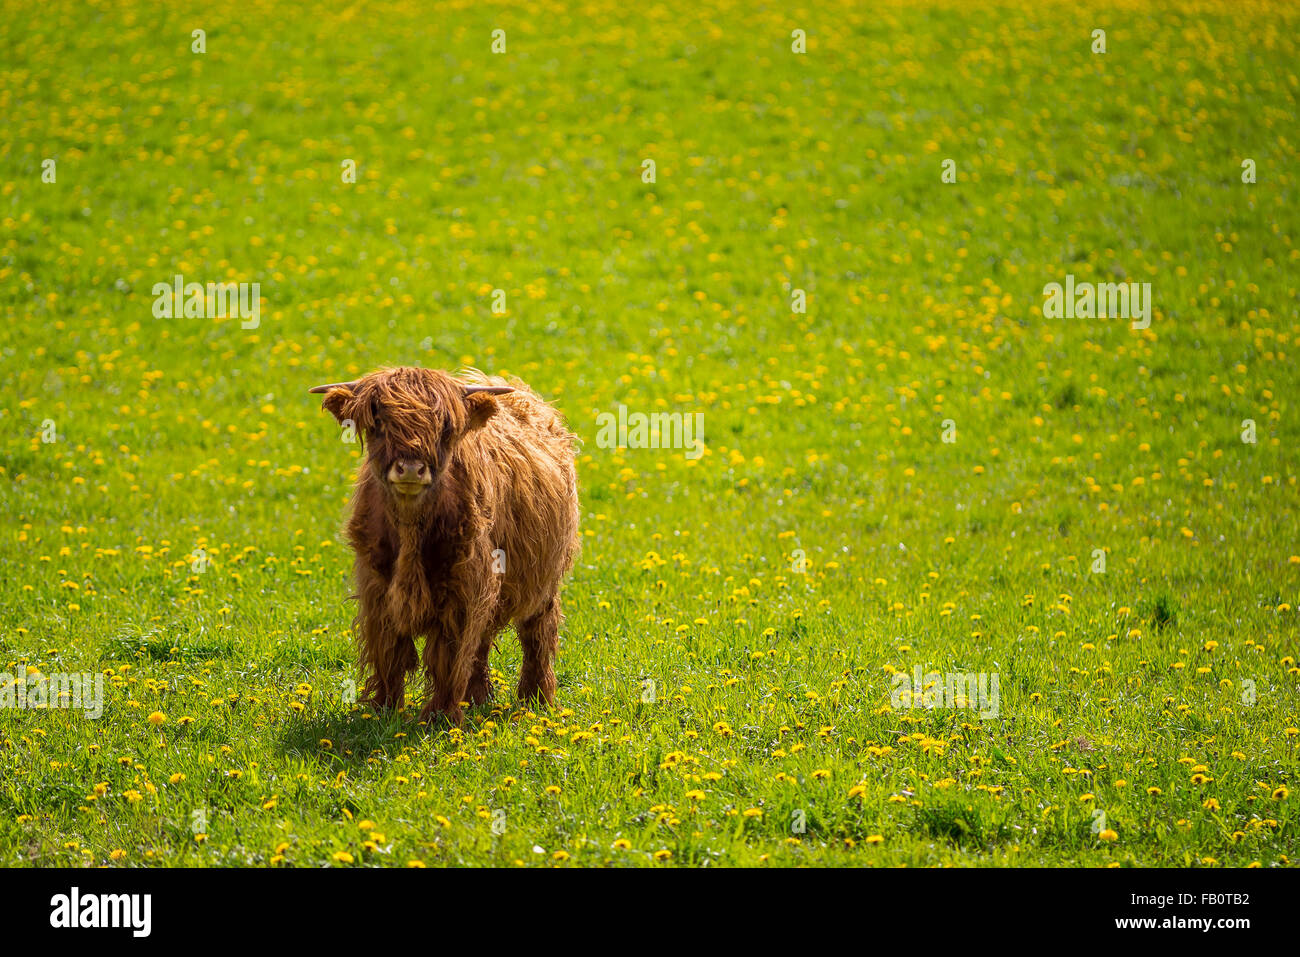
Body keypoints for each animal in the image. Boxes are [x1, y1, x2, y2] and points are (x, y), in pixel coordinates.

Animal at [311, 367, 580, 725]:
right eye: (378, 422)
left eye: (446, 427)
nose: (411, 468)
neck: (410, 529)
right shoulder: (376, 587)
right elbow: (389, 651)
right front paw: (384, 709)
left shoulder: (463, 588)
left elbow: (448, 655)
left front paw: (440, 717)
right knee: (482, 643)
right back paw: (478, 697)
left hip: (544, 580)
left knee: (536, 635)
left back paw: (535, 699)